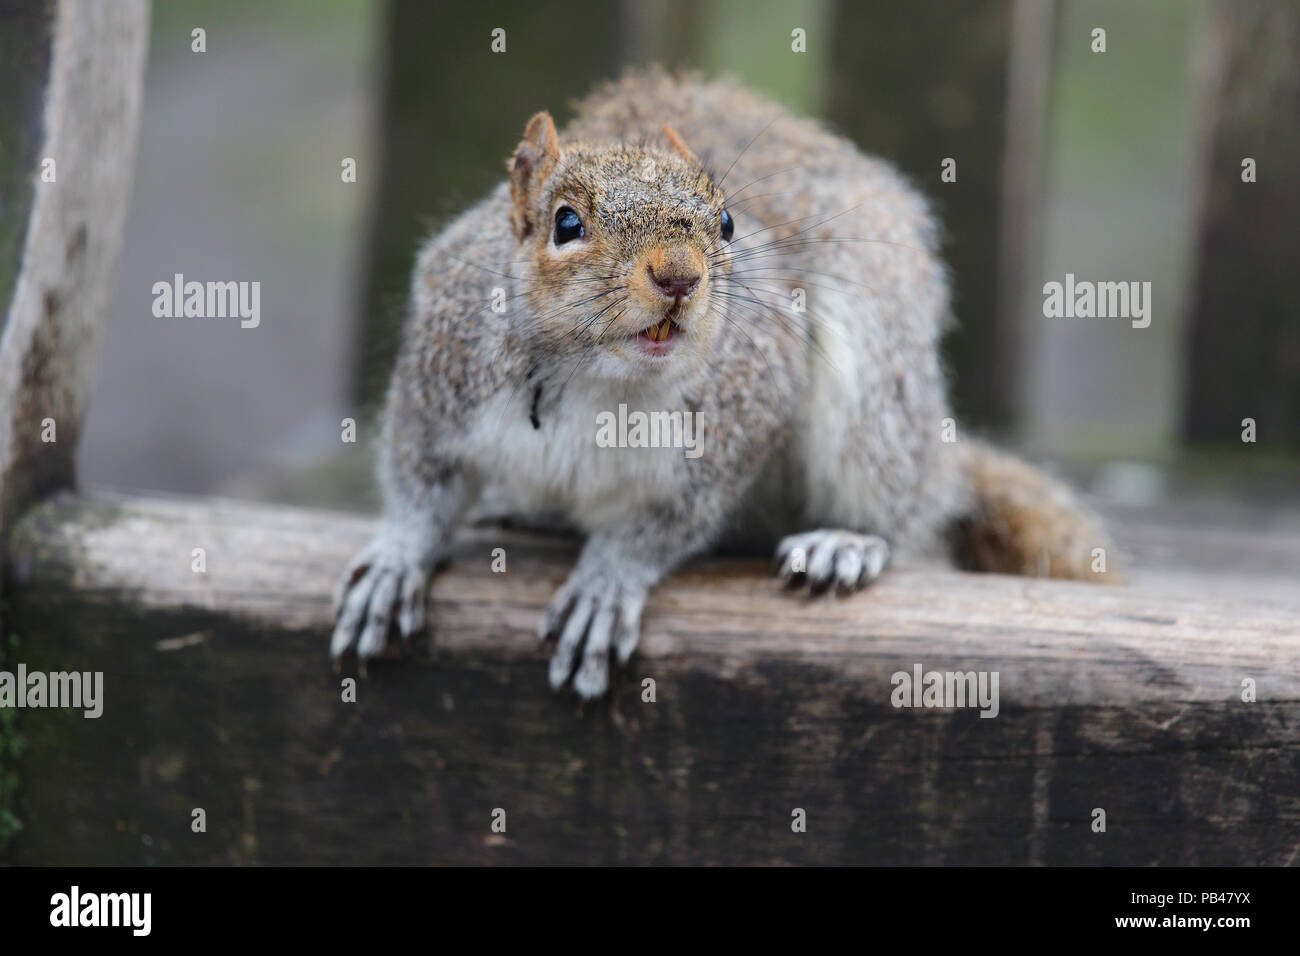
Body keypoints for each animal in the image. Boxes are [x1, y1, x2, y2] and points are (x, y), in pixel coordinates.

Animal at [331, 69, 1115, 698]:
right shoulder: (440, 375)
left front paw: (608, 581)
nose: (680, 275)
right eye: (566, 223)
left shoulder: (740, 416)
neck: (598, 379)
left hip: (876, 385)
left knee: (901, 494)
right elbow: (419, 481)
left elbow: (663, 526)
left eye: (729, 222)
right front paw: (399, 559)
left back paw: (849, 541)